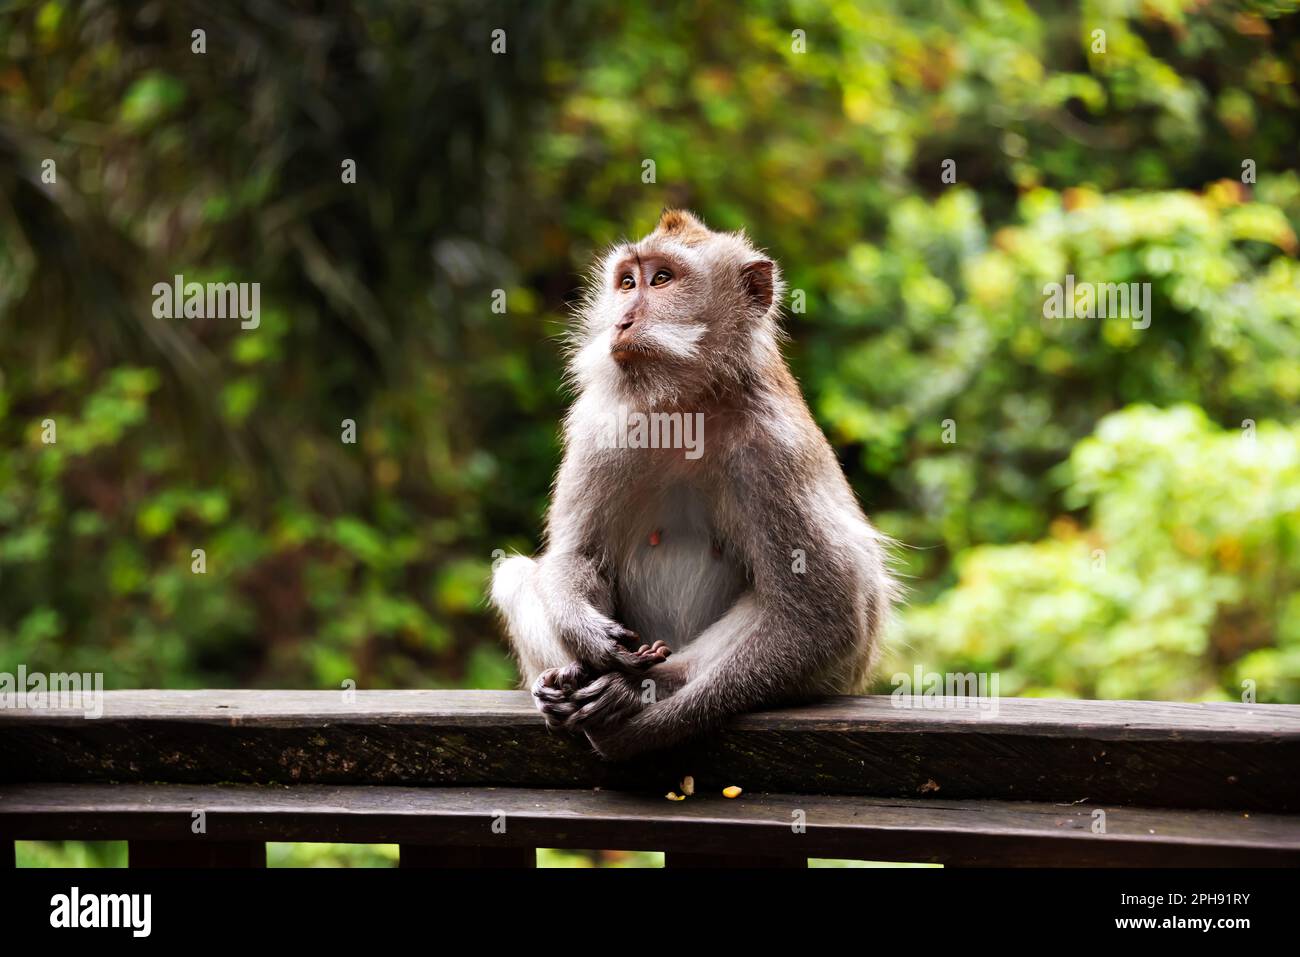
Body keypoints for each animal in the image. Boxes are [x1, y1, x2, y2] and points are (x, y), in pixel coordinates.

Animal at [490, 209, 897, 760]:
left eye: (662, 279)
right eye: (627, 283)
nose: (621, 320)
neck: (684, 410)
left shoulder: (775, 448)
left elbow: (823, 617)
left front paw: (646, 710)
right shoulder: (600, 428)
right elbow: (577, 554)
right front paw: (591, 638)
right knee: (516, 577)